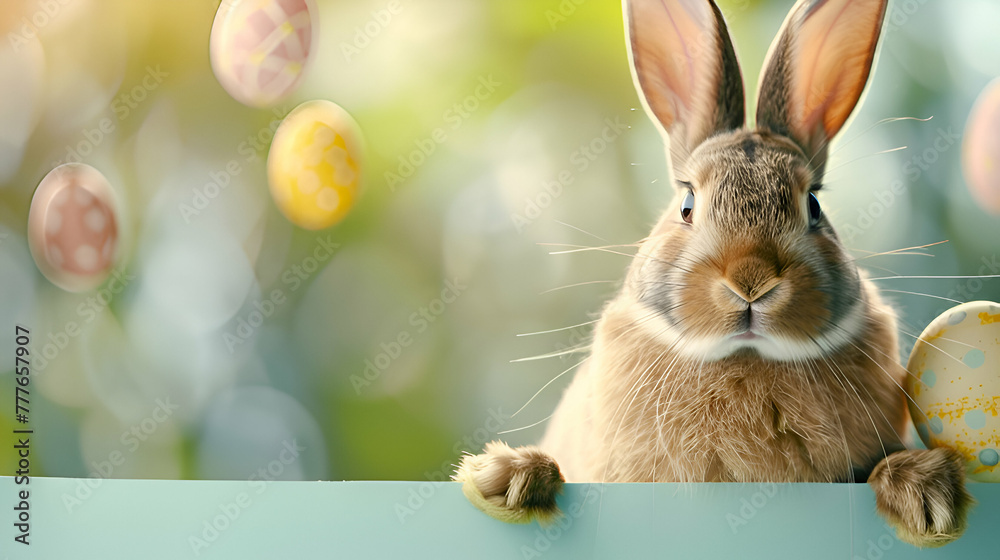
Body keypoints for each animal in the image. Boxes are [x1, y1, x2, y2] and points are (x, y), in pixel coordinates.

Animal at [454, 0, 974, 549]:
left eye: (813, 206)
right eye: (687, 204)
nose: (751, 280)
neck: (745, 358)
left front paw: (924, 495)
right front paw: (506, 478)